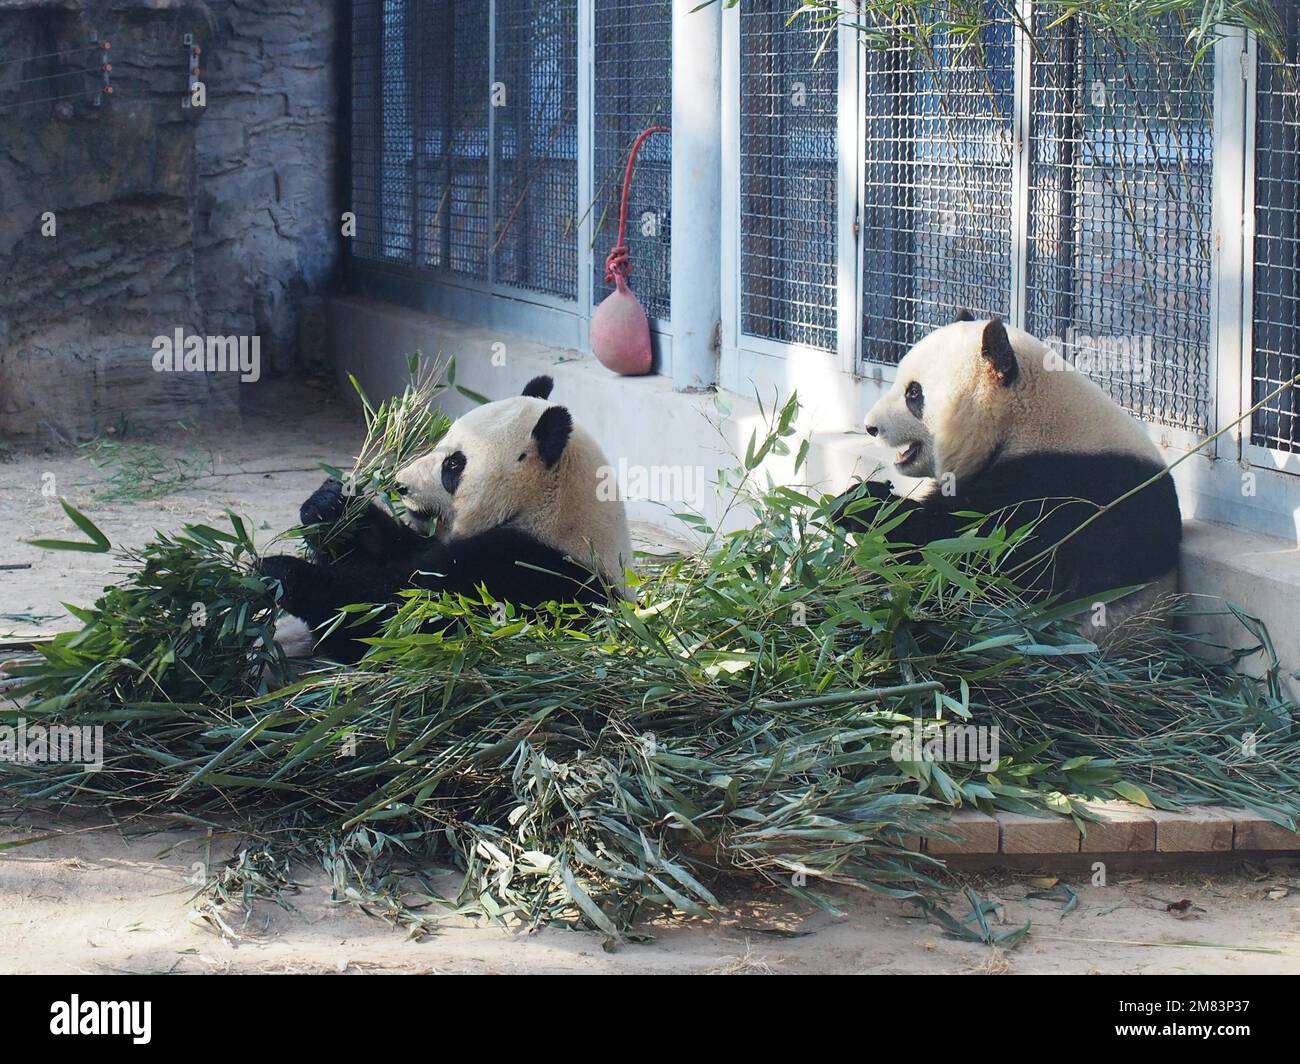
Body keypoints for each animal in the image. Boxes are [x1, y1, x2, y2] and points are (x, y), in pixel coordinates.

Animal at [260, 375, 633, 660]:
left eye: (453, 464)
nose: (401, 484)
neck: (547, 510)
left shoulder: (527, 570)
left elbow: (398, 617)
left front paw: (281, 572)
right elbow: (392, 550)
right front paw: (329, 507)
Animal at [834, 314, 1181, 635]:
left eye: (914, 394)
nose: (870, 426)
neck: (1025, 421)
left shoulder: (1066, 490)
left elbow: (978, 557)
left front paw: (868, 504)